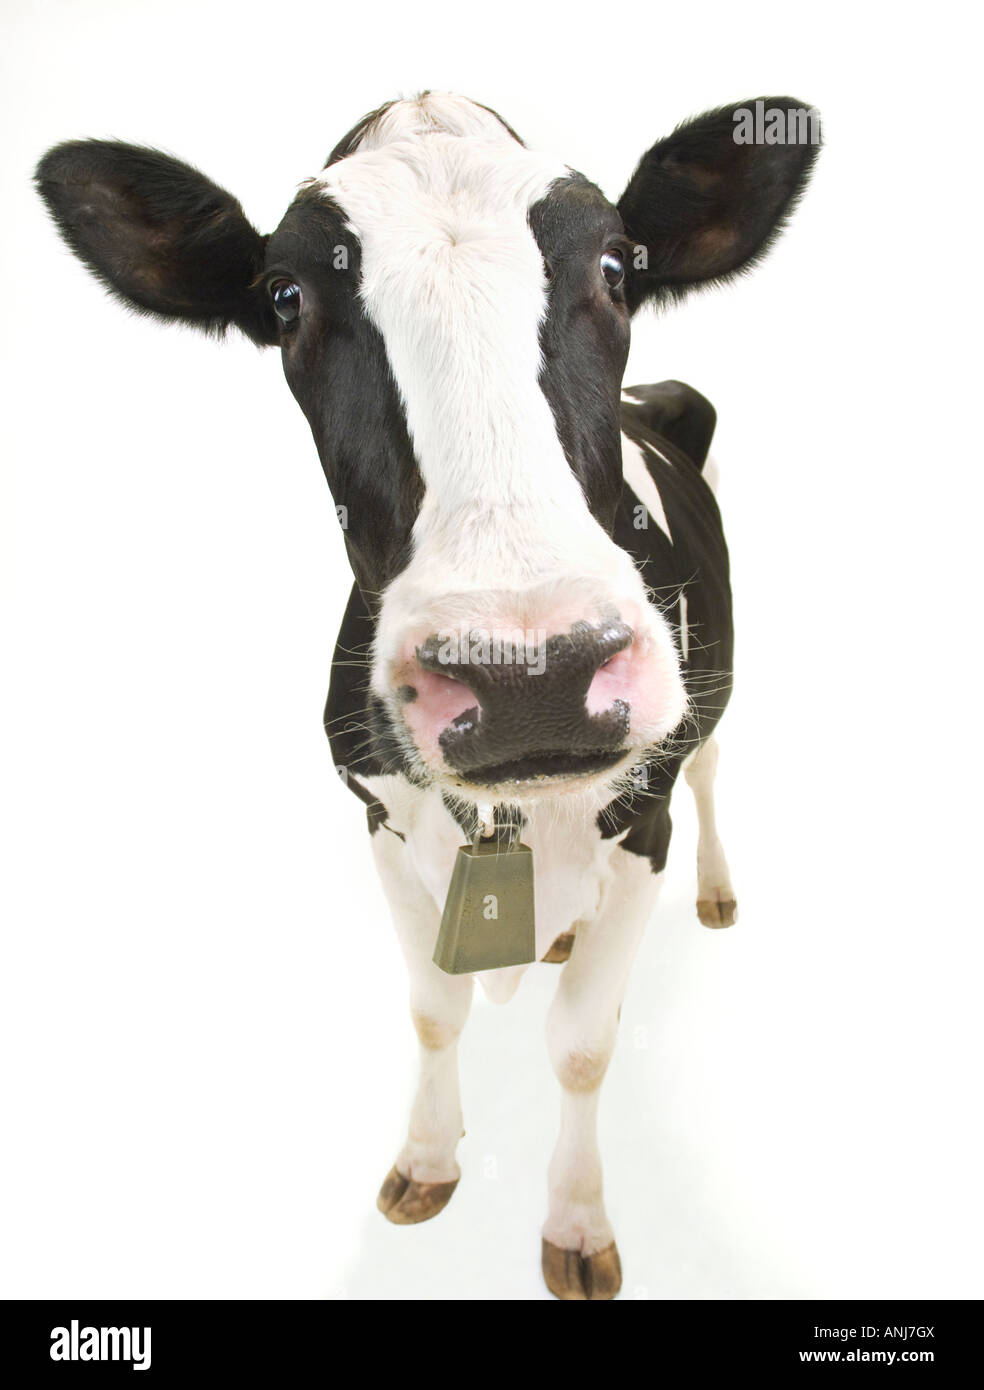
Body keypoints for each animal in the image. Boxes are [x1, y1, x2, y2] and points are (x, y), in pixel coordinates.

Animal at [36, 91, 819, 1300]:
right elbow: (435, 1011)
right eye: (285, 298)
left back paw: (721, 888)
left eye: (617, 267)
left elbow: (583, 1045)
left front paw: (576, 1222)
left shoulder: (640, 825)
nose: (530, 675)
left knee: (717, 768)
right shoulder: (381, 820)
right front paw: (426, 1160)